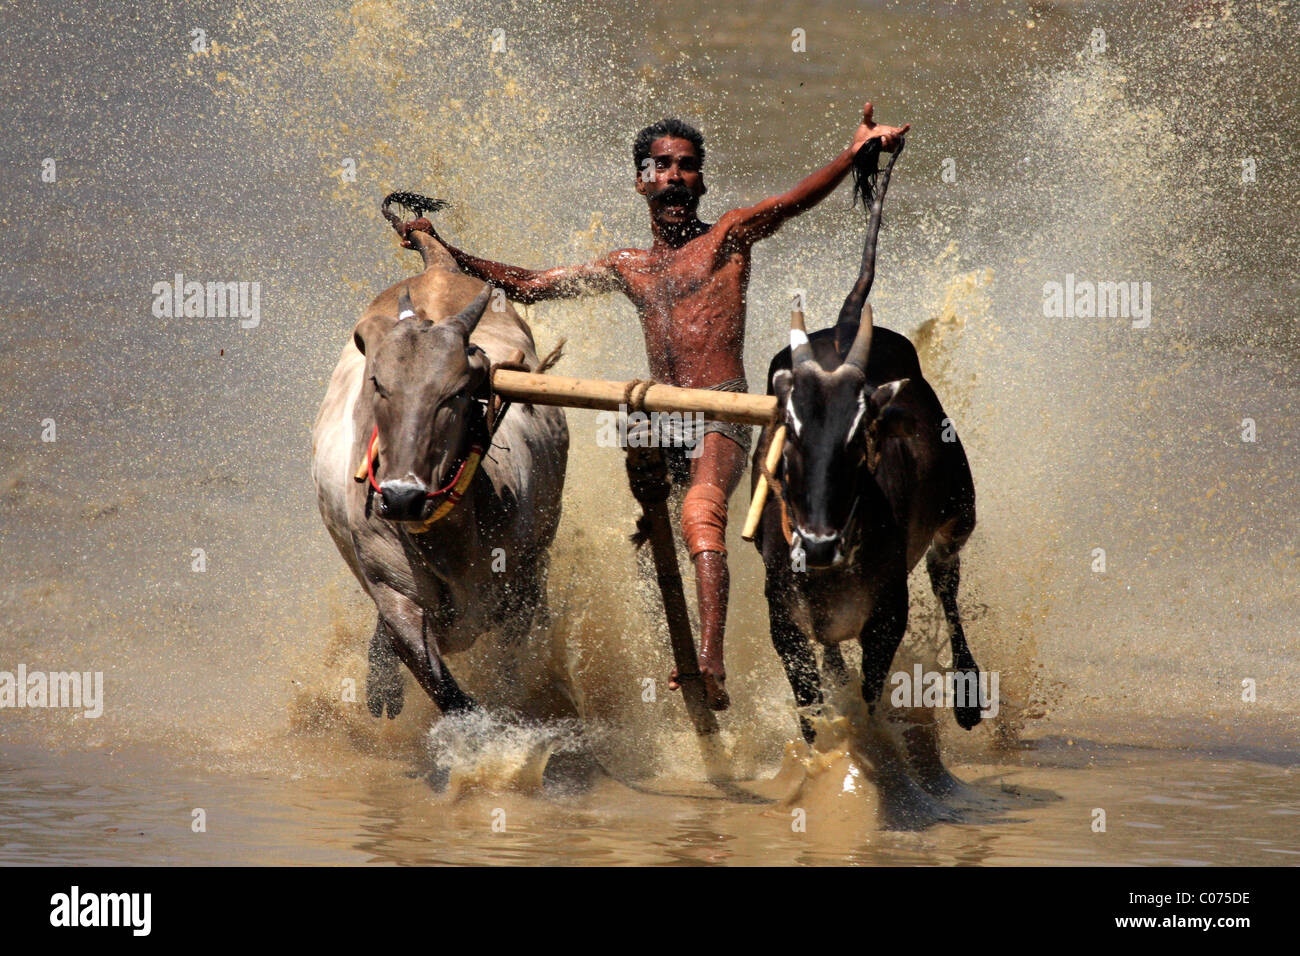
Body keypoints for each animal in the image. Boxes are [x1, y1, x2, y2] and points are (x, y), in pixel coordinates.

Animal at [310, 196, 568, 717]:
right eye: (378, 385)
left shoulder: (523, 586)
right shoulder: (394, 591)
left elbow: (511, 677)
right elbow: (447, 691)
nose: (401, 497)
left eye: (454, 393)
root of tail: (439, 267)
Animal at [751, 141, 982, 743]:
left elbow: (871, 696)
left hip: (959, 514)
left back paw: (968, 695)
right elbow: (812, 709)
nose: (817, 546)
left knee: (946, 583)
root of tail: (846, 321)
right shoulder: (784, 624)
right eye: (789, 440)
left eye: (860, 444)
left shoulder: (887, 618)